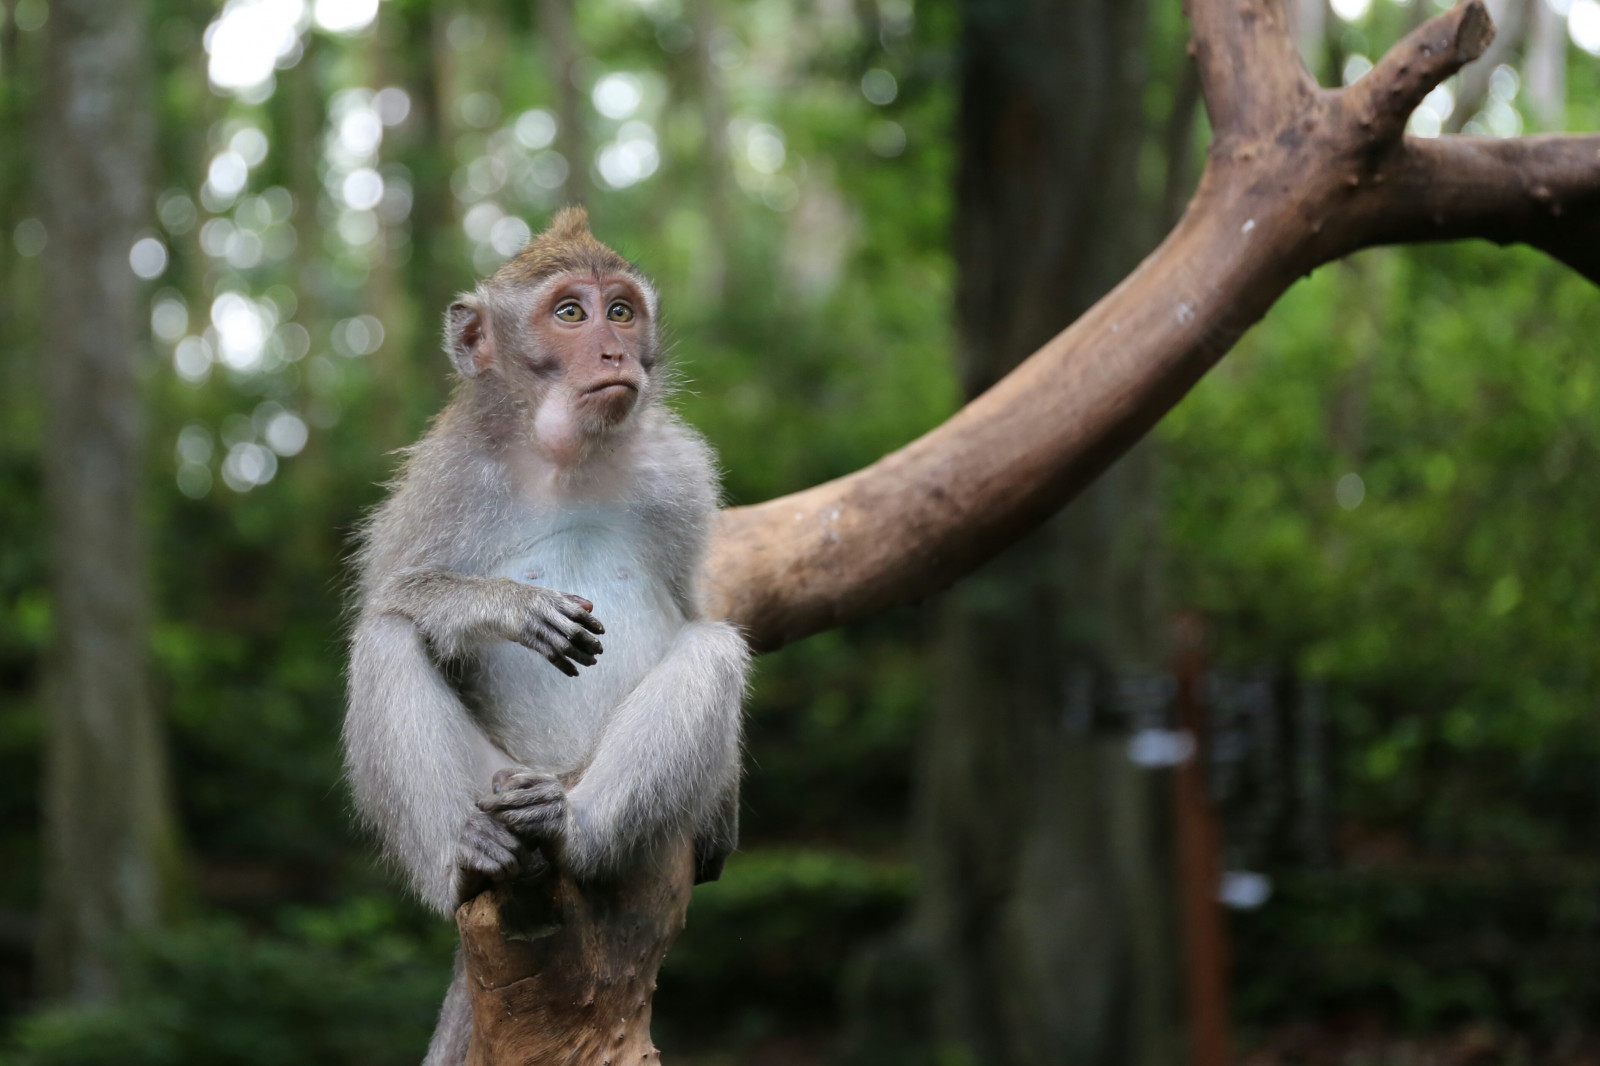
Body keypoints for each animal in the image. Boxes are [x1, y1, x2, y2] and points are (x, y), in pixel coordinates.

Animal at [342, 207, 747, 1065]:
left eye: (620, 310)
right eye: (569, 313)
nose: (613, 351)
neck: (570, 455)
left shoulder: (683, 470)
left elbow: (694, 608)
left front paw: (725, 805)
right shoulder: (448, 473)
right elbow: (389, 598)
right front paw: (505, 606)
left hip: (622, 809)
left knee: (715, 650)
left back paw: (571, 830)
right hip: (487, 780)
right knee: (387, 639)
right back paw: (467, 862)